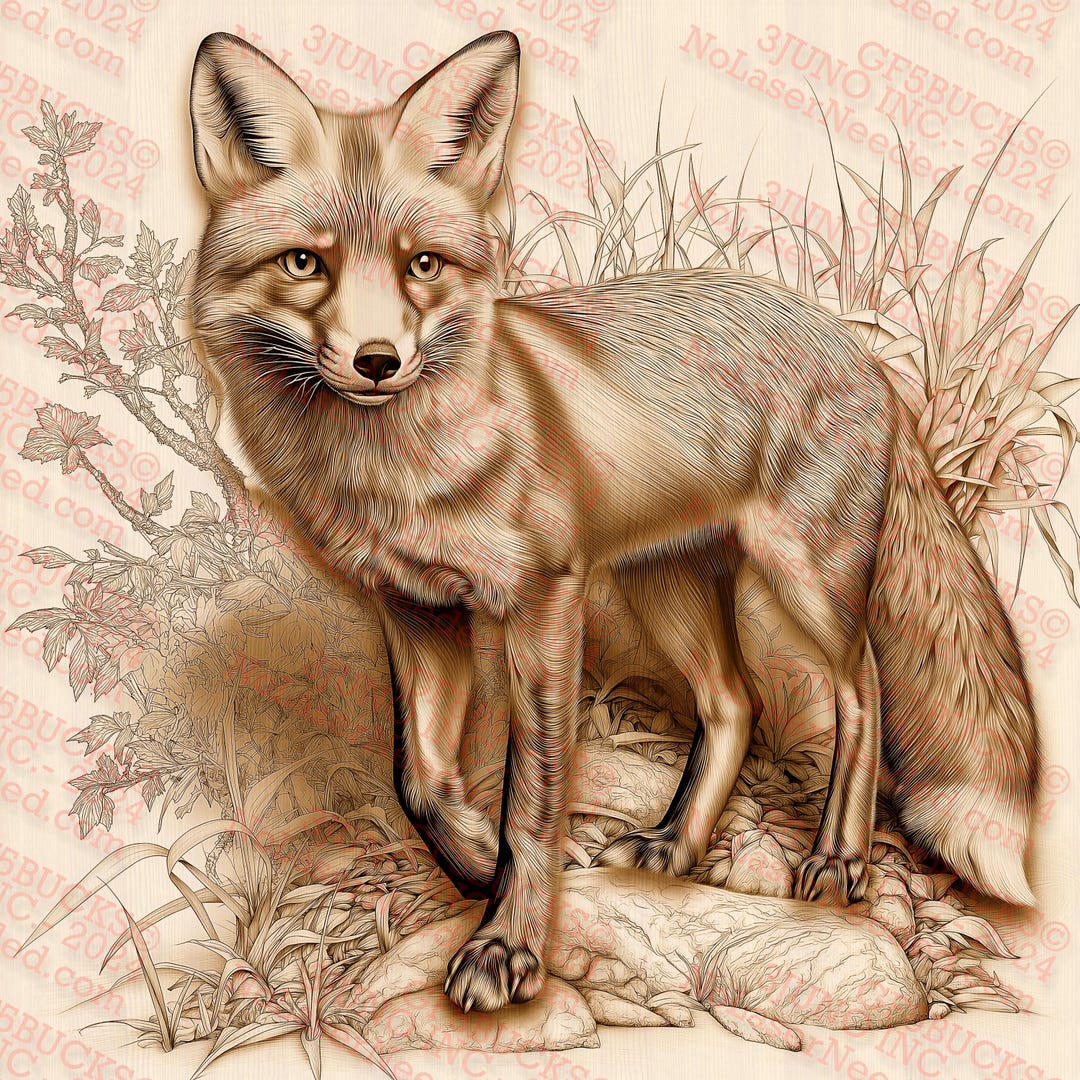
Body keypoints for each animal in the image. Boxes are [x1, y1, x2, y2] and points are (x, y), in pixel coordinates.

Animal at [189, 30, 1039, 1013]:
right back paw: (674, 846)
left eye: (422, 265)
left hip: (806, 578)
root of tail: (858, 348)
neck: (398, 471)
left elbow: (534, 799)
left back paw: (837, 858)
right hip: (665, 589)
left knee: (860, 687)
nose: (376, 361)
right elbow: (420, 781)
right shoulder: (415, 609)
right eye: (305, 263)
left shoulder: (543, 602)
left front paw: (509, 945)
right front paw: (476, 867)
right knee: (735, 704)